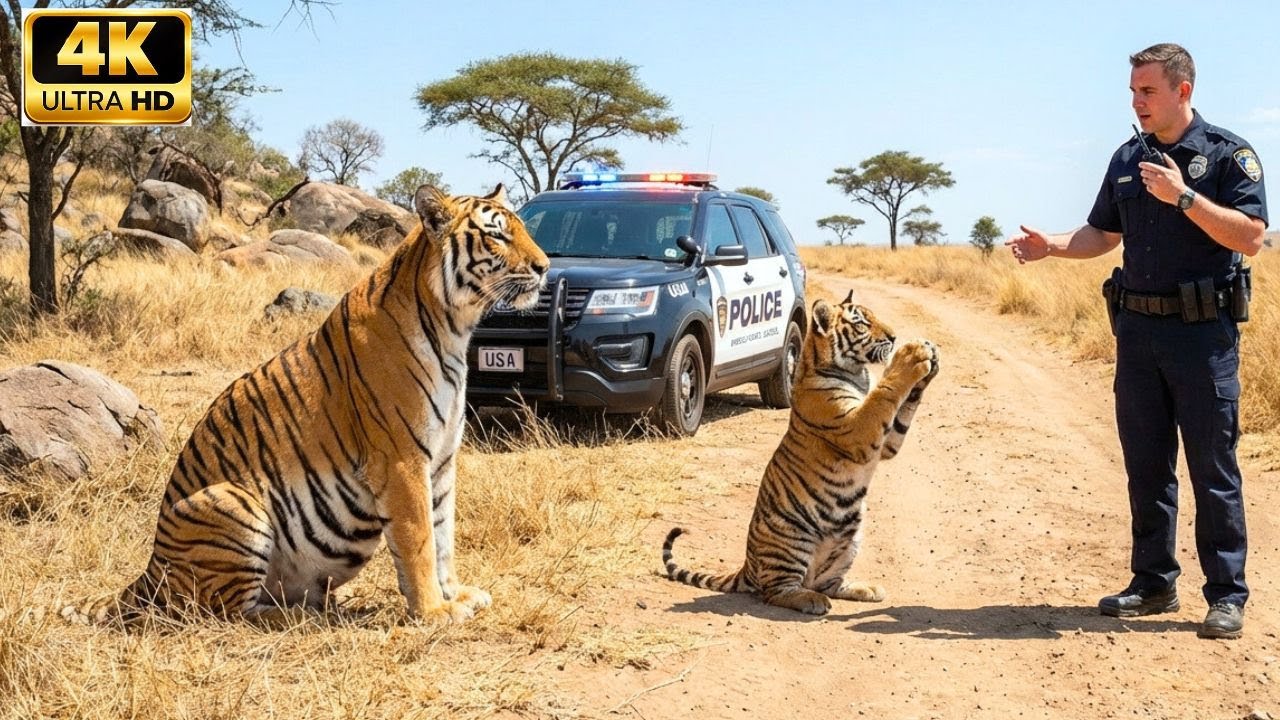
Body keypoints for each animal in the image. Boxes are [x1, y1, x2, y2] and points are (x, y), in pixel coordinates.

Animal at [65, 184, 548, 625]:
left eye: (523, 229)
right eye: (497, 236)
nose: (544, 268)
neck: (454, 327)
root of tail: (148, 570)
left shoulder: (443, 459)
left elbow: (443, 532)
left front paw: (456, 594)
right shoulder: (402, 459)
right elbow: (419, 538)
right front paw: (433, 611)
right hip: (236, 502)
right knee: (220, 612)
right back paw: (299, 615)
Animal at [662, 292, 939, 615]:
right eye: (862, 323)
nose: (894, 337)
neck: (856, 372)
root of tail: (747, 565)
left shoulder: (885, 442)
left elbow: (902, 408)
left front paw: (928, 365)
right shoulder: (858, 430)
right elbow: (884, 394)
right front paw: (911, 355)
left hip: (850, 541)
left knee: (826, 583)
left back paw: (864, 588)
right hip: (794, 539)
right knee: (776, 591)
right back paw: (811, 600)